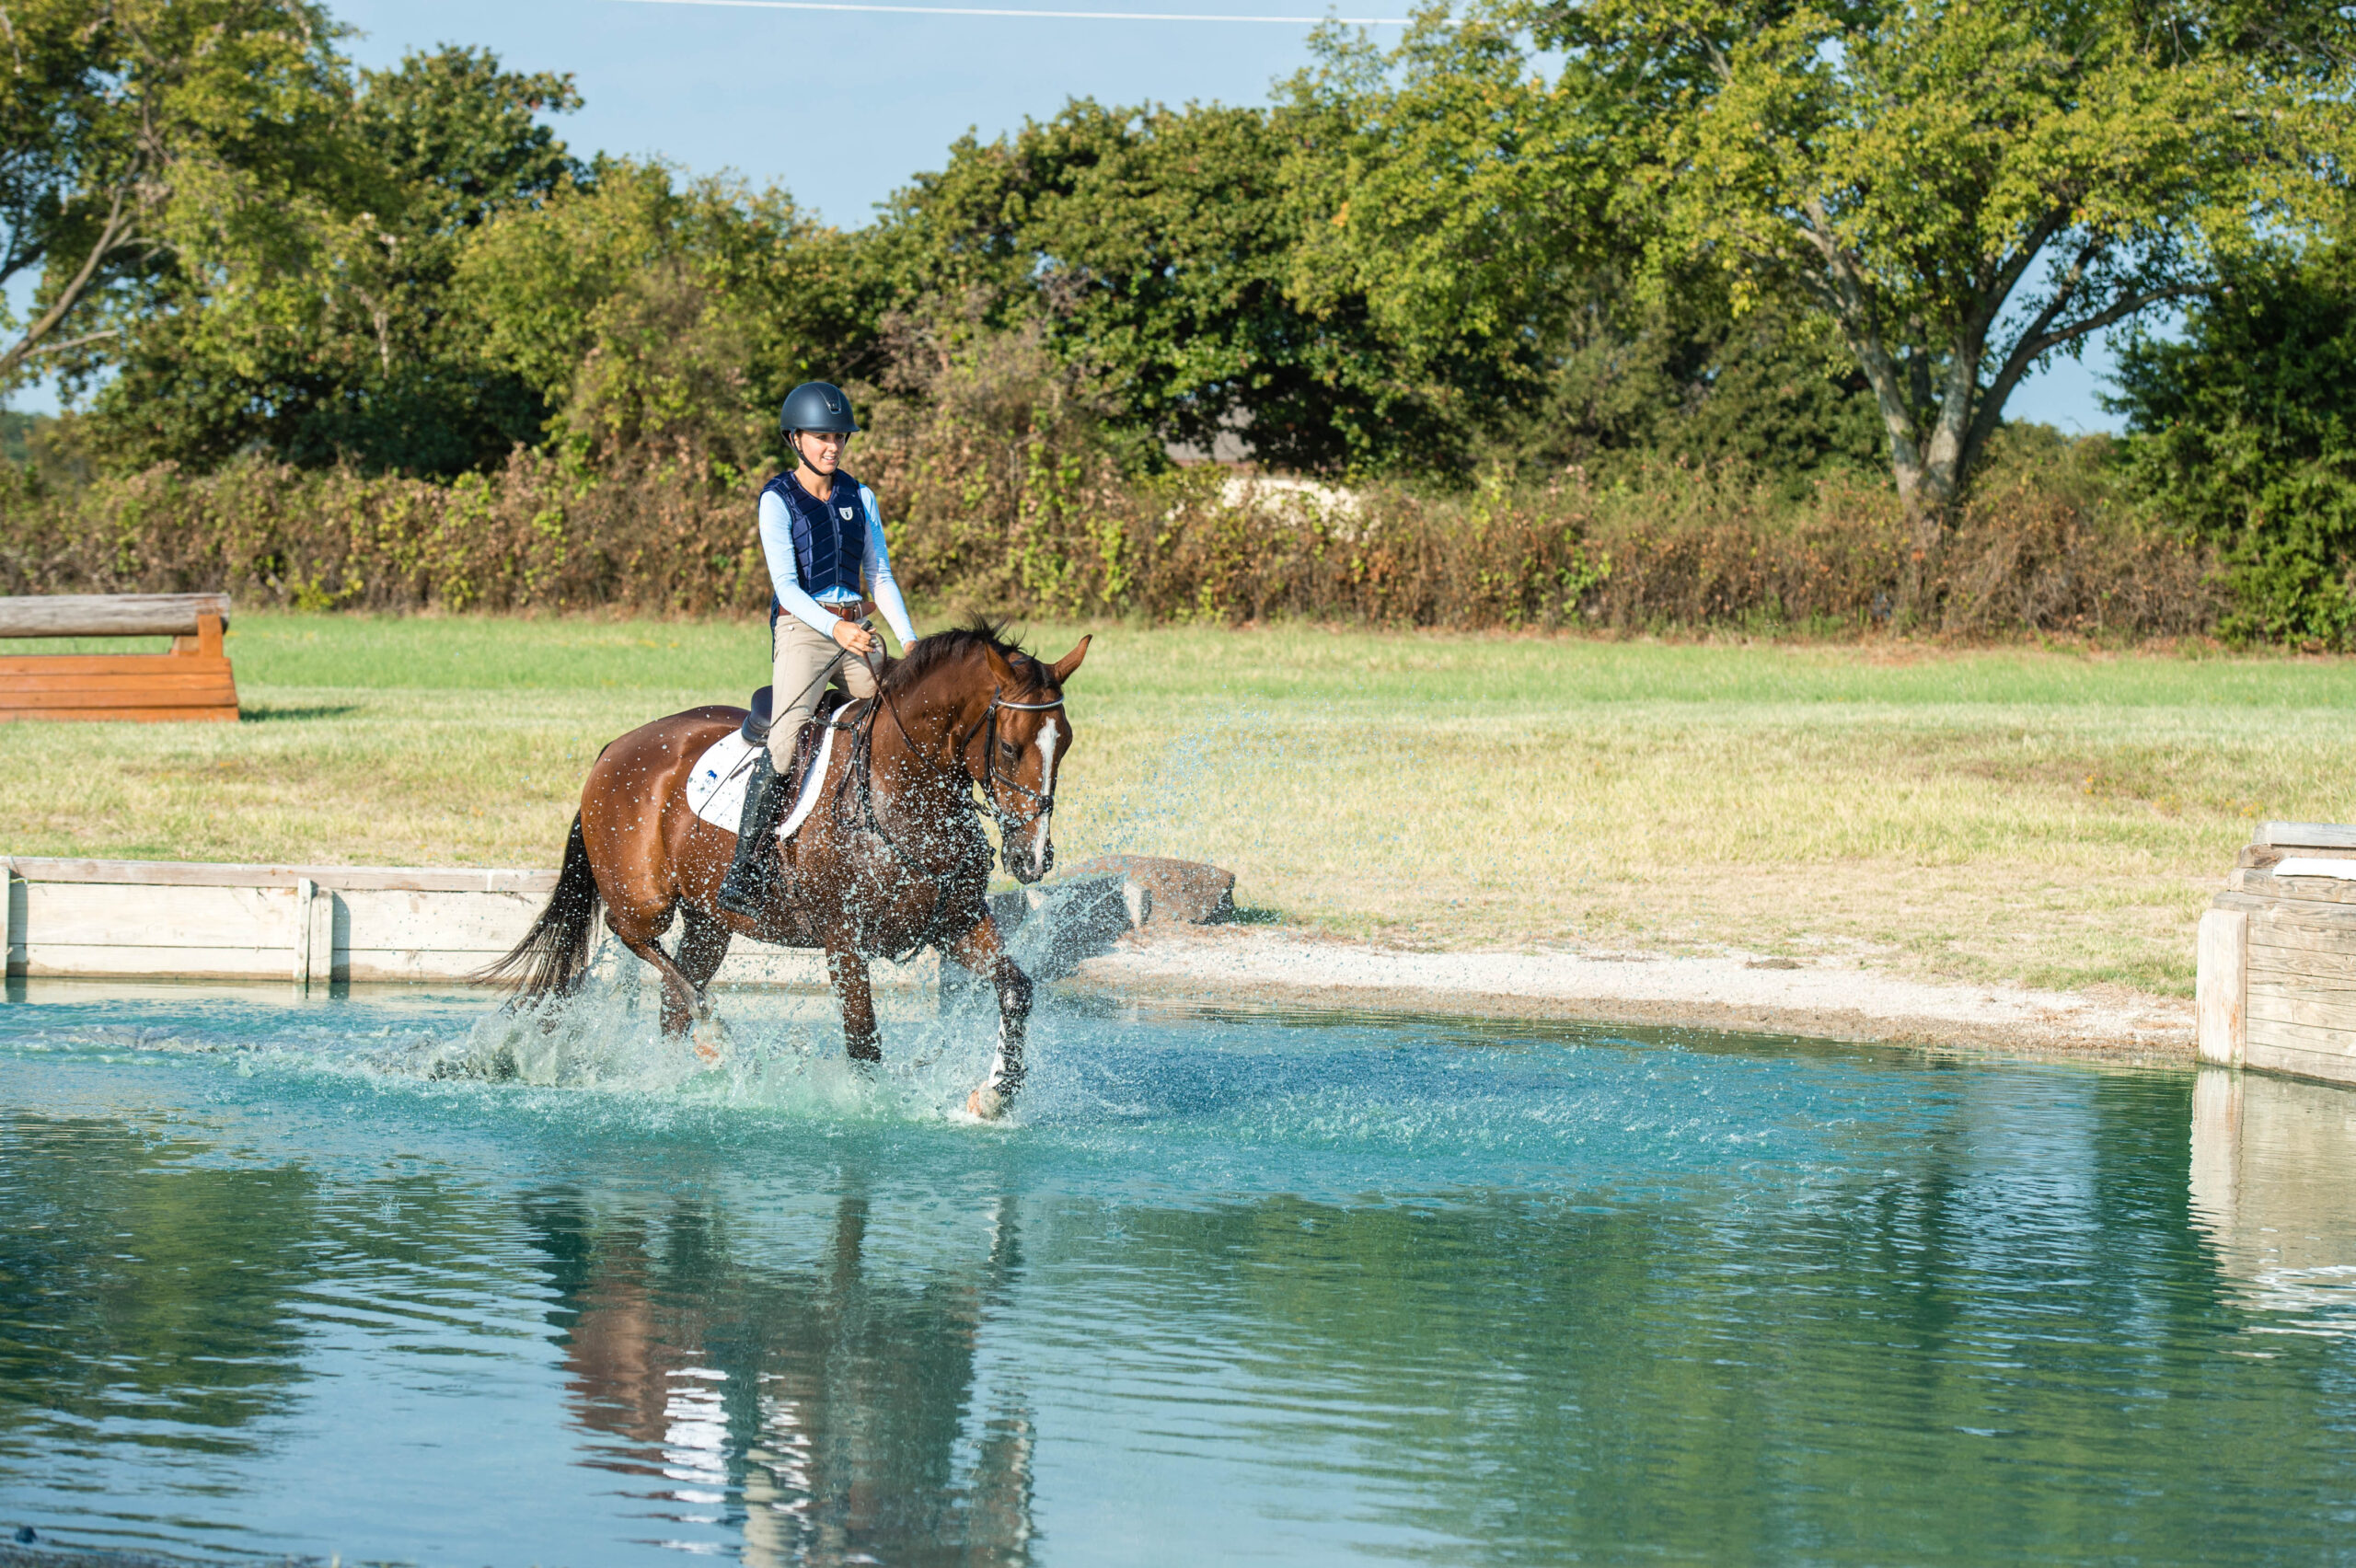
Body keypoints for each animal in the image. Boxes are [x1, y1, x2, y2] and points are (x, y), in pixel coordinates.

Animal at [482, 620, 1089, 1119]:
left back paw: (684, 1070)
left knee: (673, 999)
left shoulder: (957, 922)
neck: (902, 790)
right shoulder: (844, 942)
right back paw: (716, 1034)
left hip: (710, 921)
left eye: (1064, 745)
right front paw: (869, 1112)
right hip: (645, 900)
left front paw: (995, 1095)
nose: (1032, 860)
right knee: (631, 934)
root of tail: (615, 747)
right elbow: (863, 1042)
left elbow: (1016, 989)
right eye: (1008, 748)